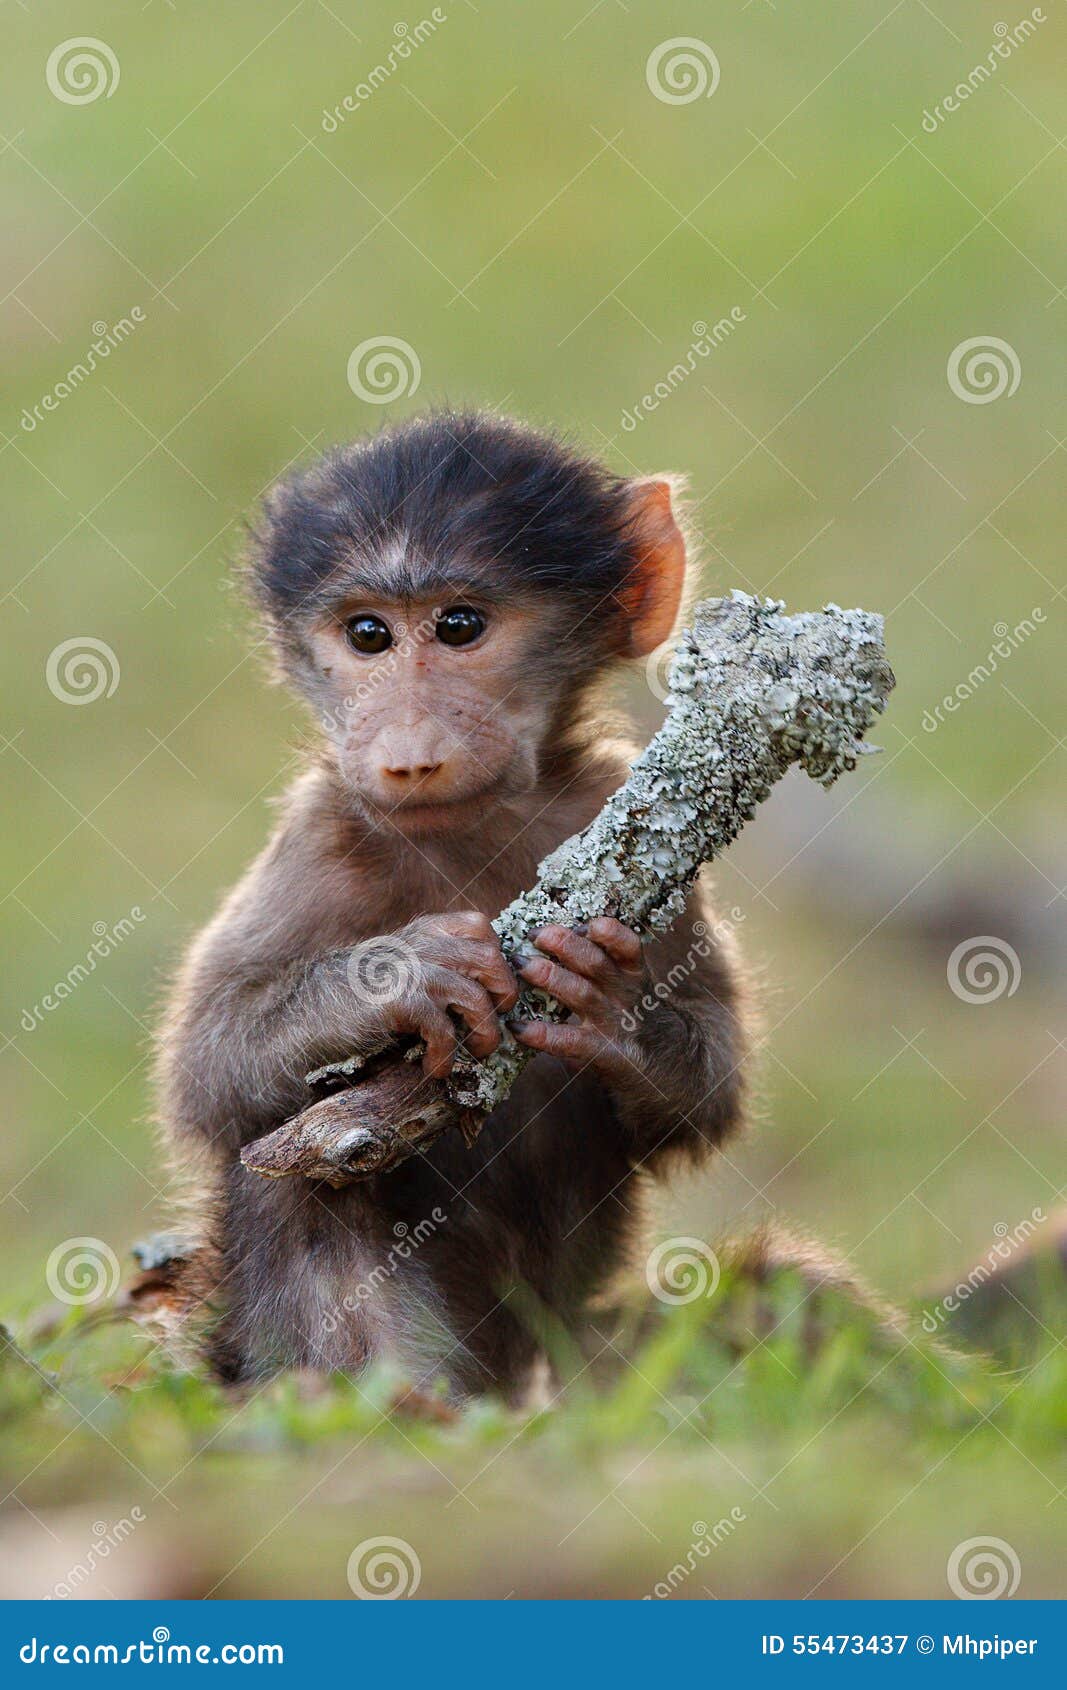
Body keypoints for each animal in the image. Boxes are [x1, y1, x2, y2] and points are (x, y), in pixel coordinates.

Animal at [155, 410, 750, 1404]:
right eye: (367, 635)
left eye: (460, 626)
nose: (406, 751)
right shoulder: (318, 836)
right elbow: (206, 1071)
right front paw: (403, 975)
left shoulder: (612, 811)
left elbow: (710, 1096)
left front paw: (610, 1006)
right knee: (306, 1180)